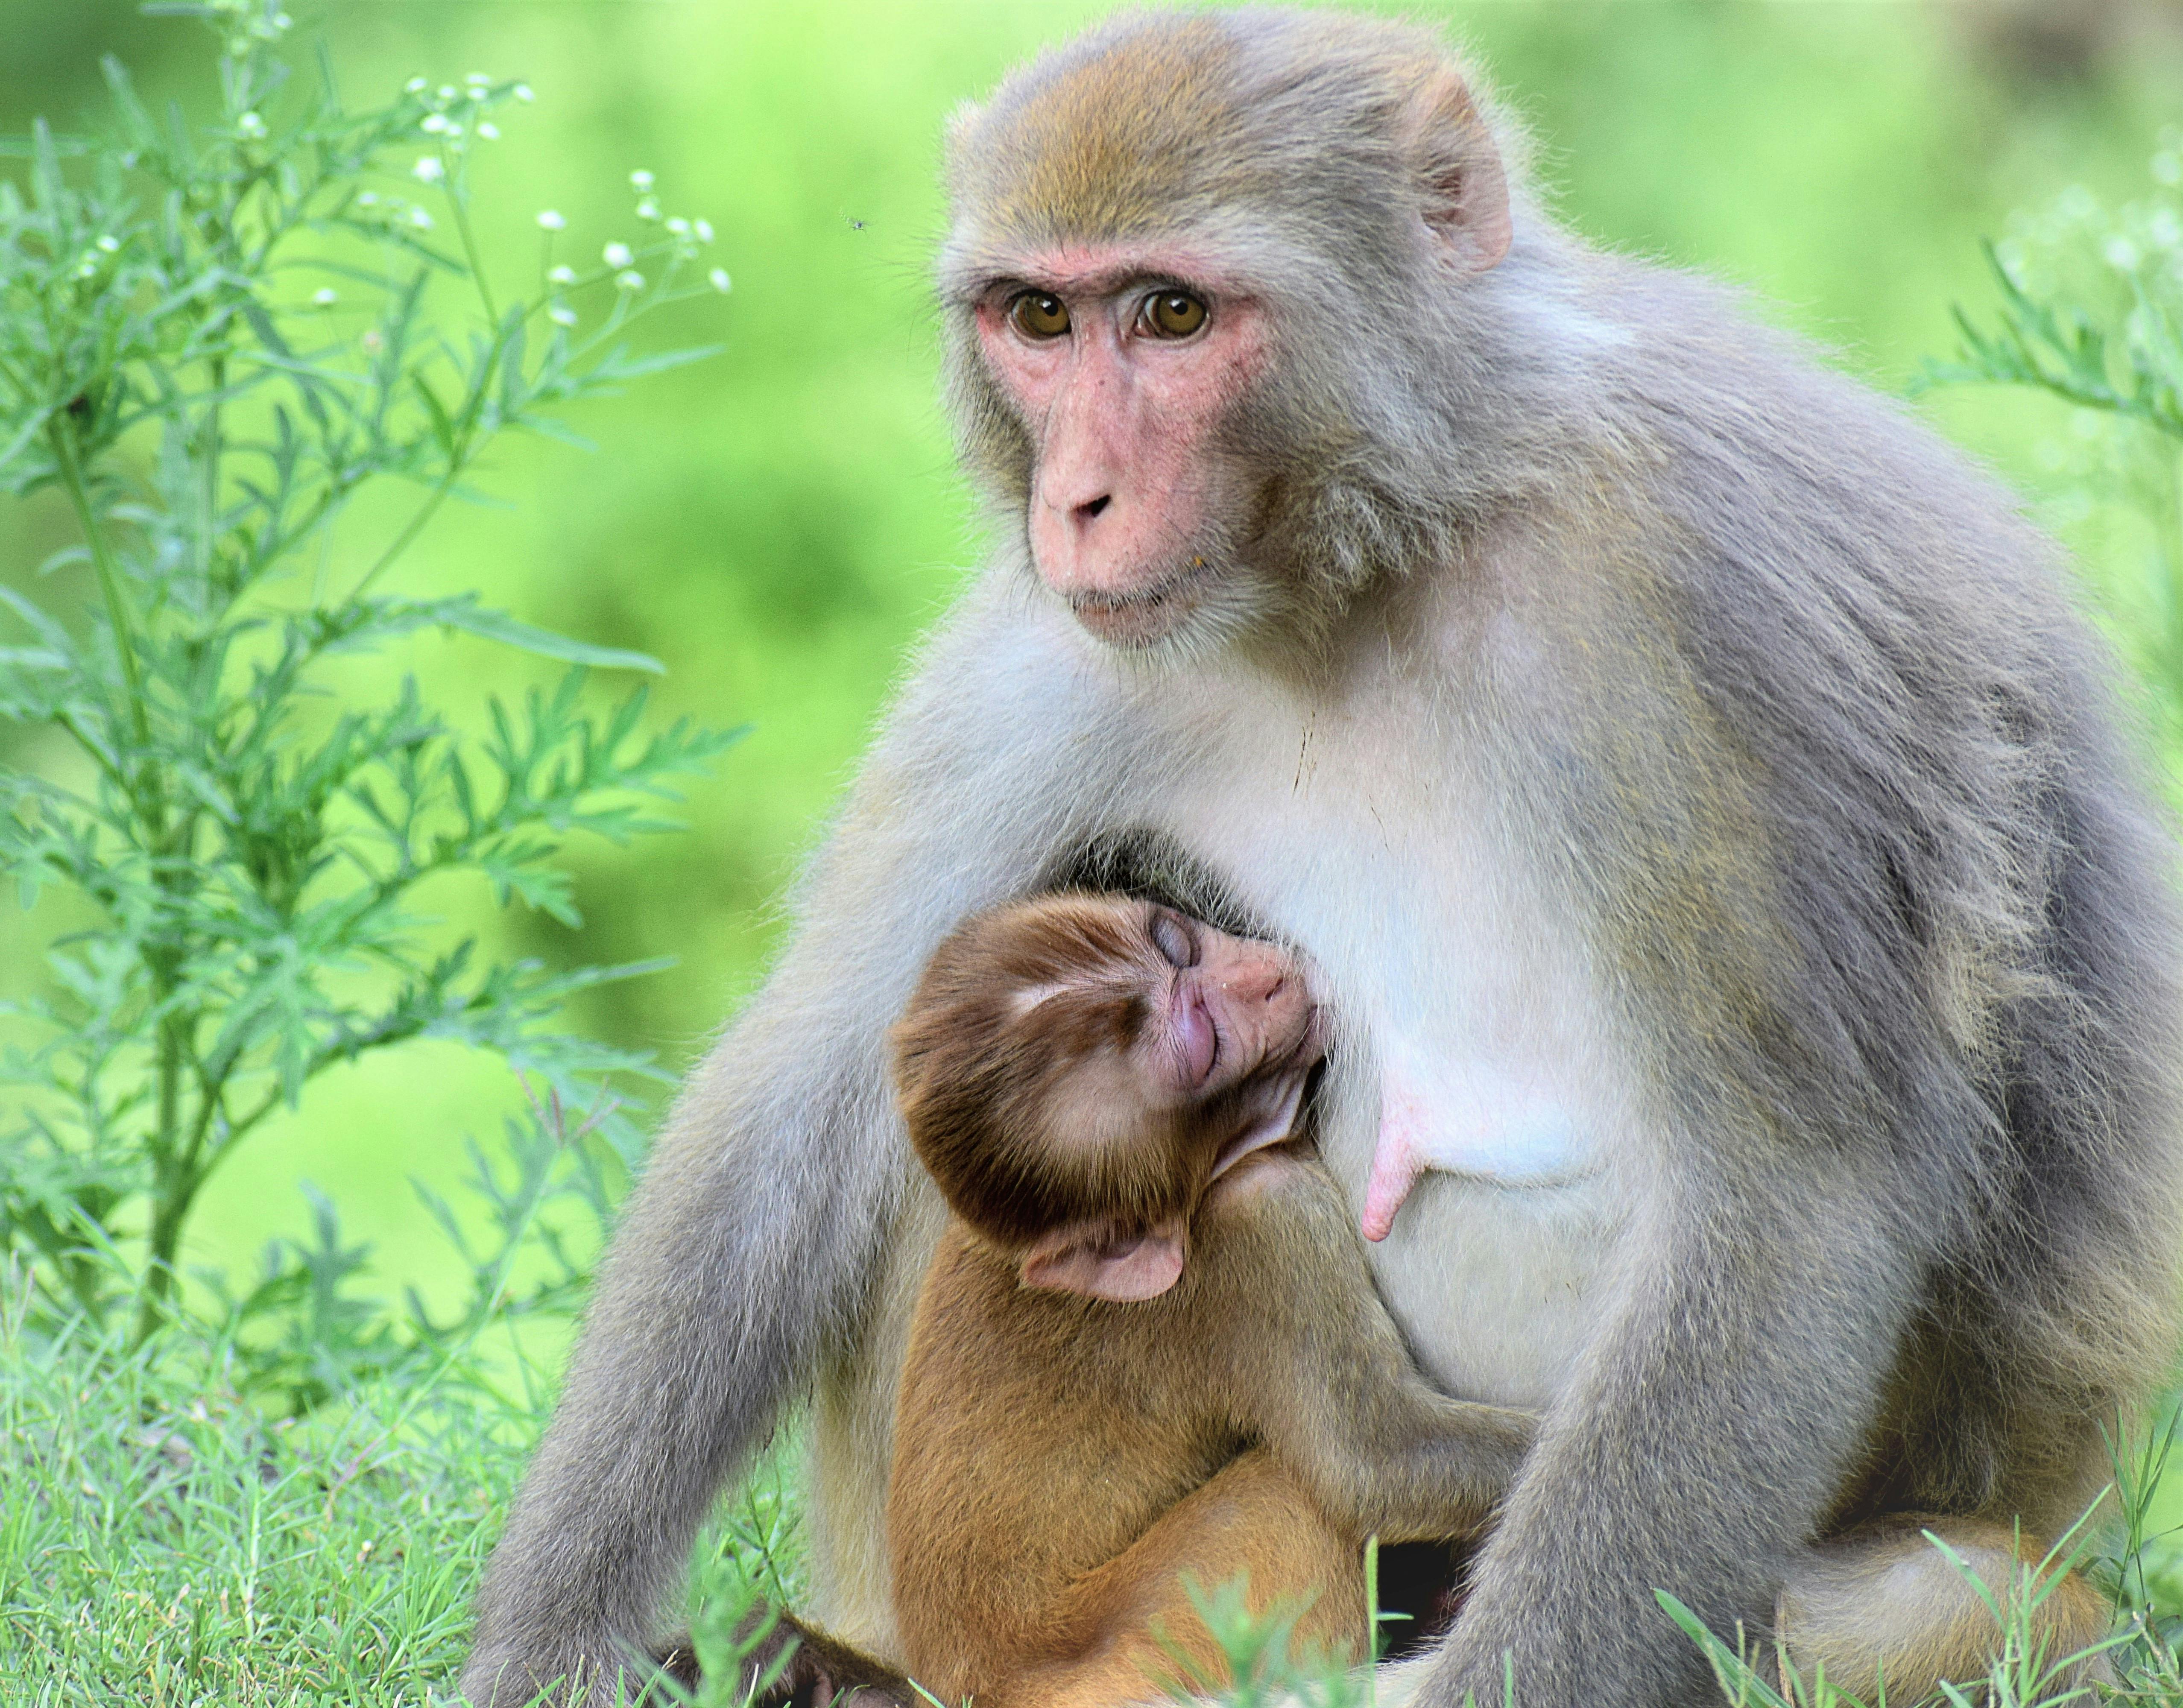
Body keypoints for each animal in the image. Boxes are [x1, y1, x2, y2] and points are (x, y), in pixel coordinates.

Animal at [879, 892, 1533, 1708]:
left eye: (1173, 941)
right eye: (1206, 1049)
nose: (1266, 984)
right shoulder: (1267, 1225)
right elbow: (1379, 1462)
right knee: (1288, 1496)